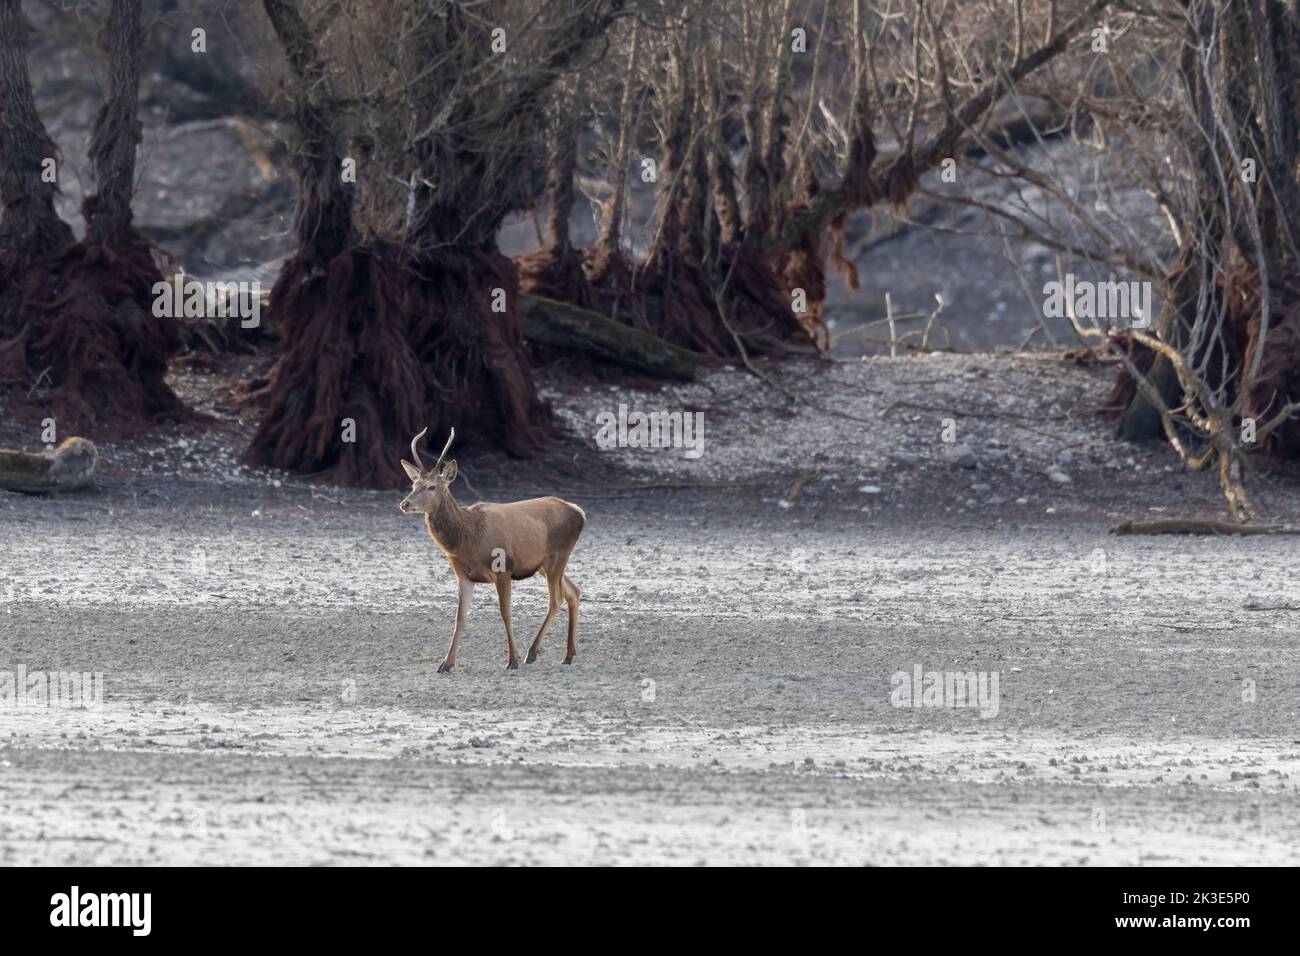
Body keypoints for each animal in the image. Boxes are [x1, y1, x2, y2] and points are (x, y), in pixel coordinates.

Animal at [399, 428, 586, 672]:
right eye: (413, 485)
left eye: (432, 486)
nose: (405, 504)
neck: (468, 539)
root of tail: (580, 513)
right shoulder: (463, 575)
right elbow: (460, 617)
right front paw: (446, 663)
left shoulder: (503, 568)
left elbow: (505, 613)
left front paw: (512, 659)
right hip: (544, 564)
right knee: (573, 591)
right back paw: (568, 654)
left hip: (558, 555)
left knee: (556, 599)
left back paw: (532, 652)